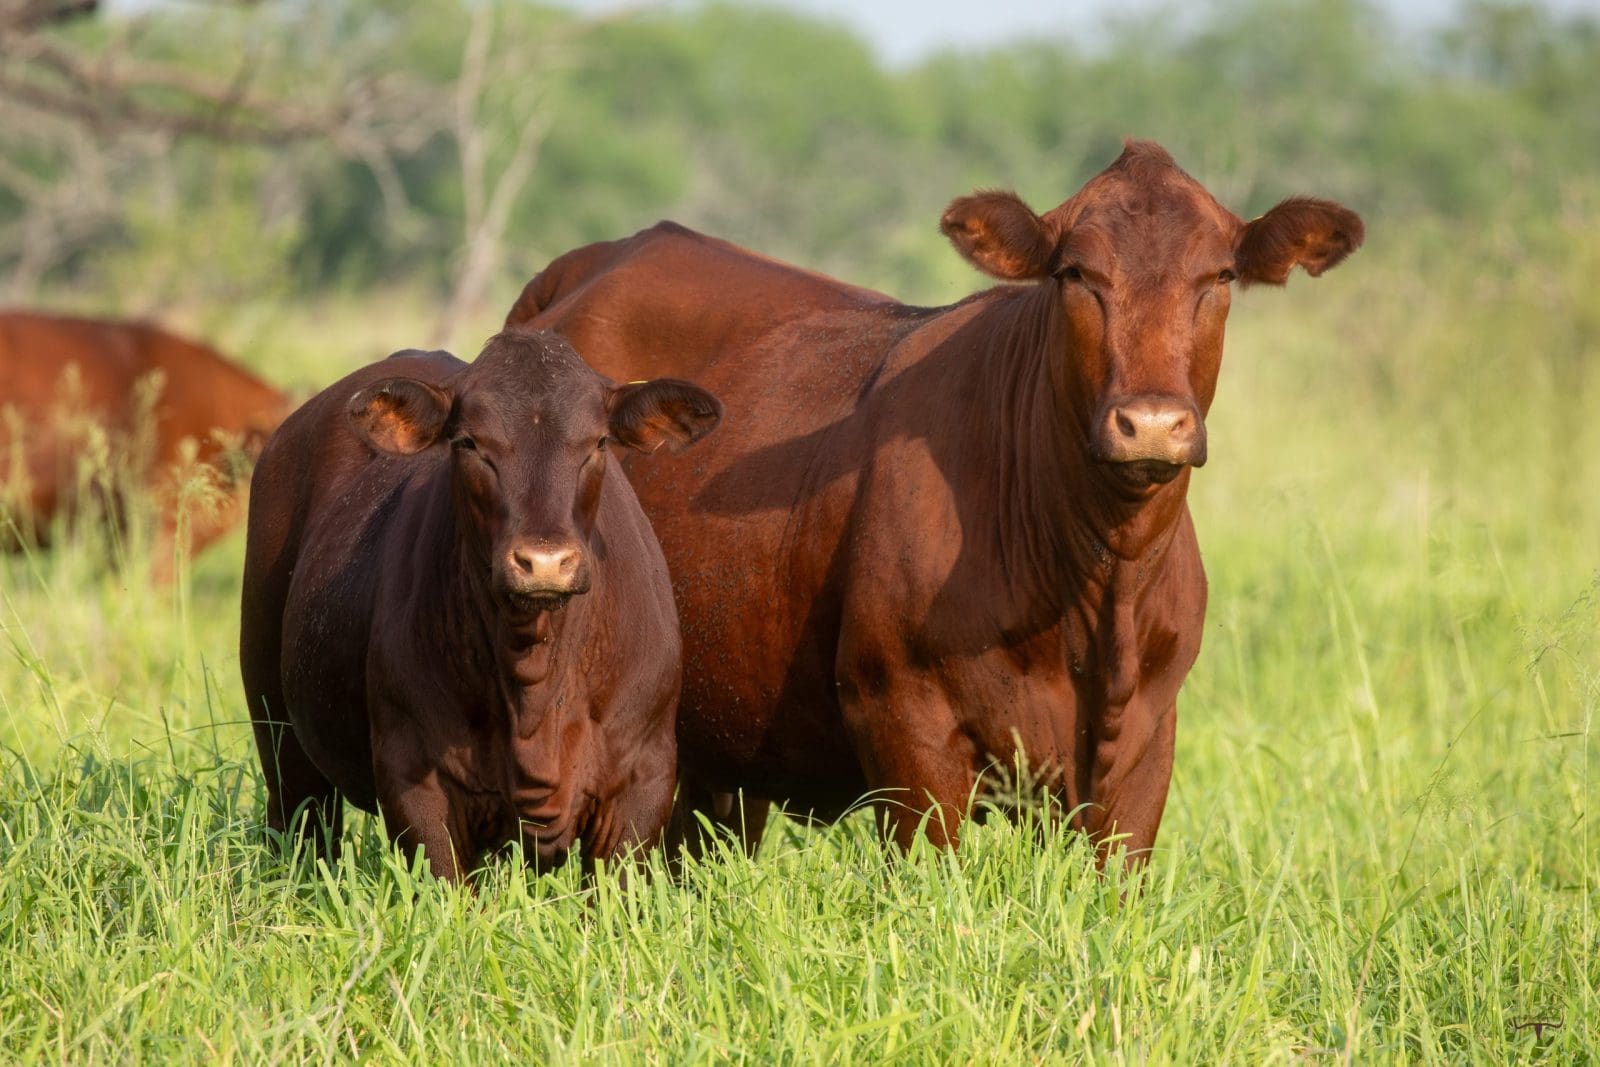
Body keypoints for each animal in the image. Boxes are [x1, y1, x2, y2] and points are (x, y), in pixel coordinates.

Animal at [238, 329, 722, 880]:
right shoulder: (417, 783)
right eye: (469, 442)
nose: (544, 562)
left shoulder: (643, 781)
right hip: (280, 743)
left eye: (599, 443)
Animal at [506, 140, 1363, 863]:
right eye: (1076, 275)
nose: (1150, 422)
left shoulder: (1144, 746)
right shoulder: (907, 725)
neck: (1099, 589)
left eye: (1218, 278)